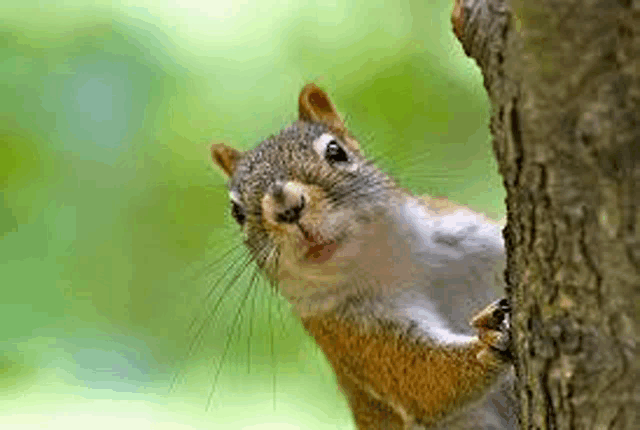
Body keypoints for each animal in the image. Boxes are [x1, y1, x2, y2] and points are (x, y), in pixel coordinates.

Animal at [210, 85, 520, 430]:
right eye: (236, 212)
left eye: (336, 151)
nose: (286, 207)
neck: (390, 260)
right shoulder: (348, 332)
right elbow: (421, 378)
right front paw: (488, 342)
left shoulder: (472, 235)